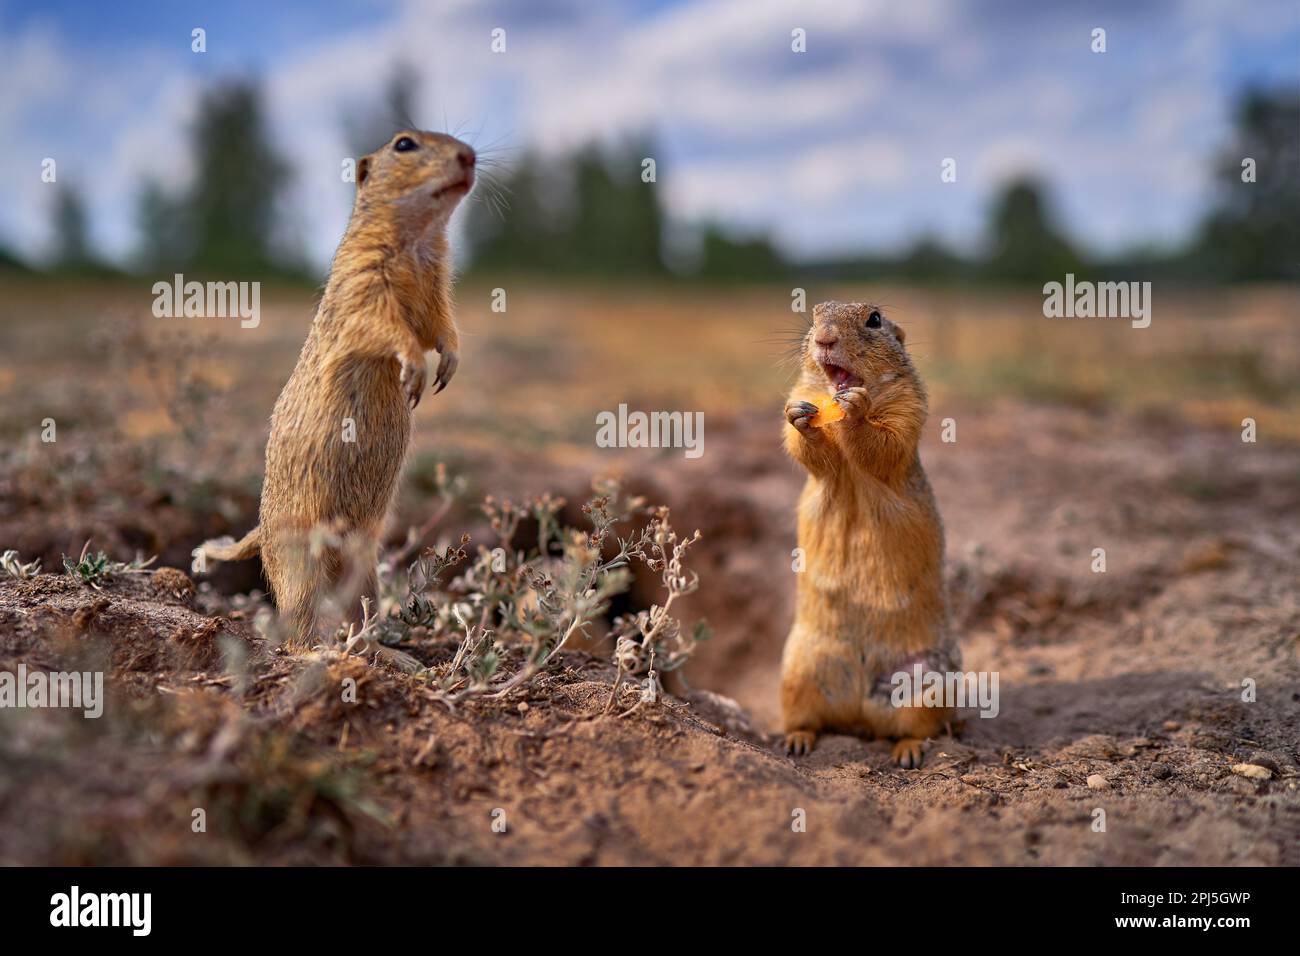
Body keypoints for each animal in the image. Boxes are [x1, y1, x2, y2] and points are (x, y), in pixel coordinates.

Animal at [201, 129, 475, 652]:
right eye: (404, 143)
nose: (469, 156)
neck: (418, 239)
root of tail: (259, 533)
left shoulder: (436, 288)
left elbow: (442, 324)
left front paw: (449, 361)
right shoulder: (364, 282)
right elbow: (386, 326)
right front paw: (415, 369)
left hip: (362, 565)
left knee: (357, 613)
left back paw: (385, 652)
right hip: (301, 564)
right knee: (298, 625)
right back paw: (319, 653)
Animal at [780, 301, 960, 767]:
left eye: (874, 319)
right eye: (814, 314)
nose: (824, 338)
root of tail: (860, 717)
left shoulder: (908, 406)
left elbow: (885, 443)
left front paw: (856, 410)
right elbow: (808, 450)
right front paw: (801, 419)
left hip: (928, 682)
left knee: (921, 728)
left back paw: (907, 752)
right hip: (797, 673)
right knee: (808, 718)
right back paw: (796, 740)